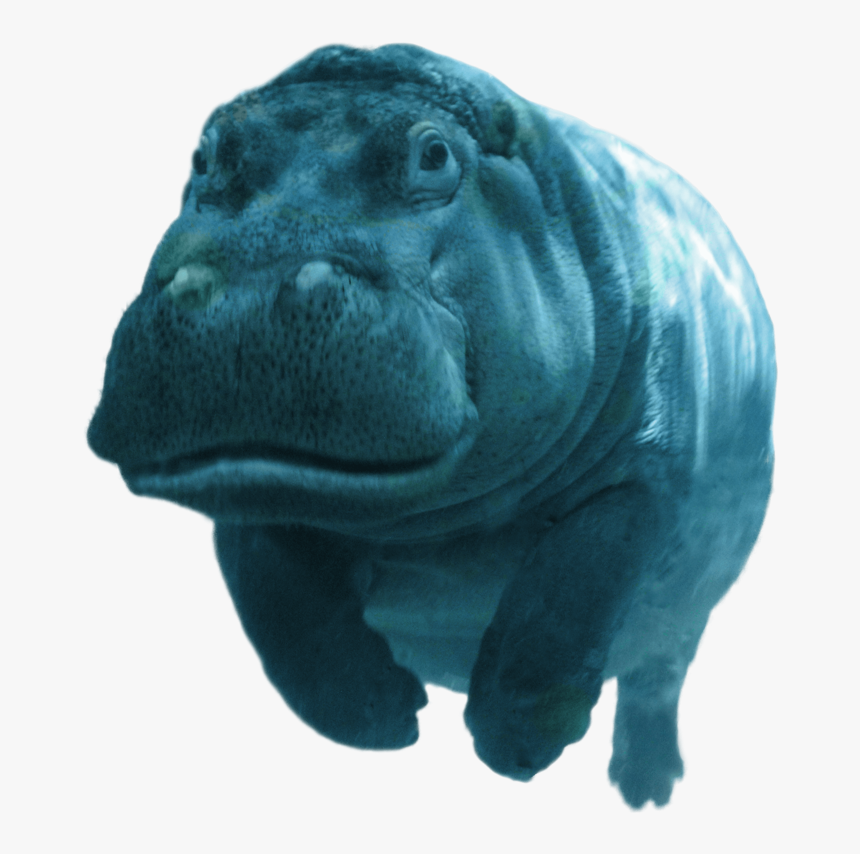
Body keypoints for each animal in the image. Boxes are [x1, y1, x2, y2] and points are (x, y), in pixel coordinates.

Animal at [87, 44, 775, 808]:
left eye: (435, 154)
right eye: (205, 155)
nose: (247, 292)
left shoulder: (646, 472)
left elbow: (569, 590)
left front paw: (515, 748)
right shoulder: (247, 486)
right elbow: (281, 605)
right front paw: (385, 718)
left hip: (690, 610)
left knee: (657, 677)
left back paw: (646, 789)